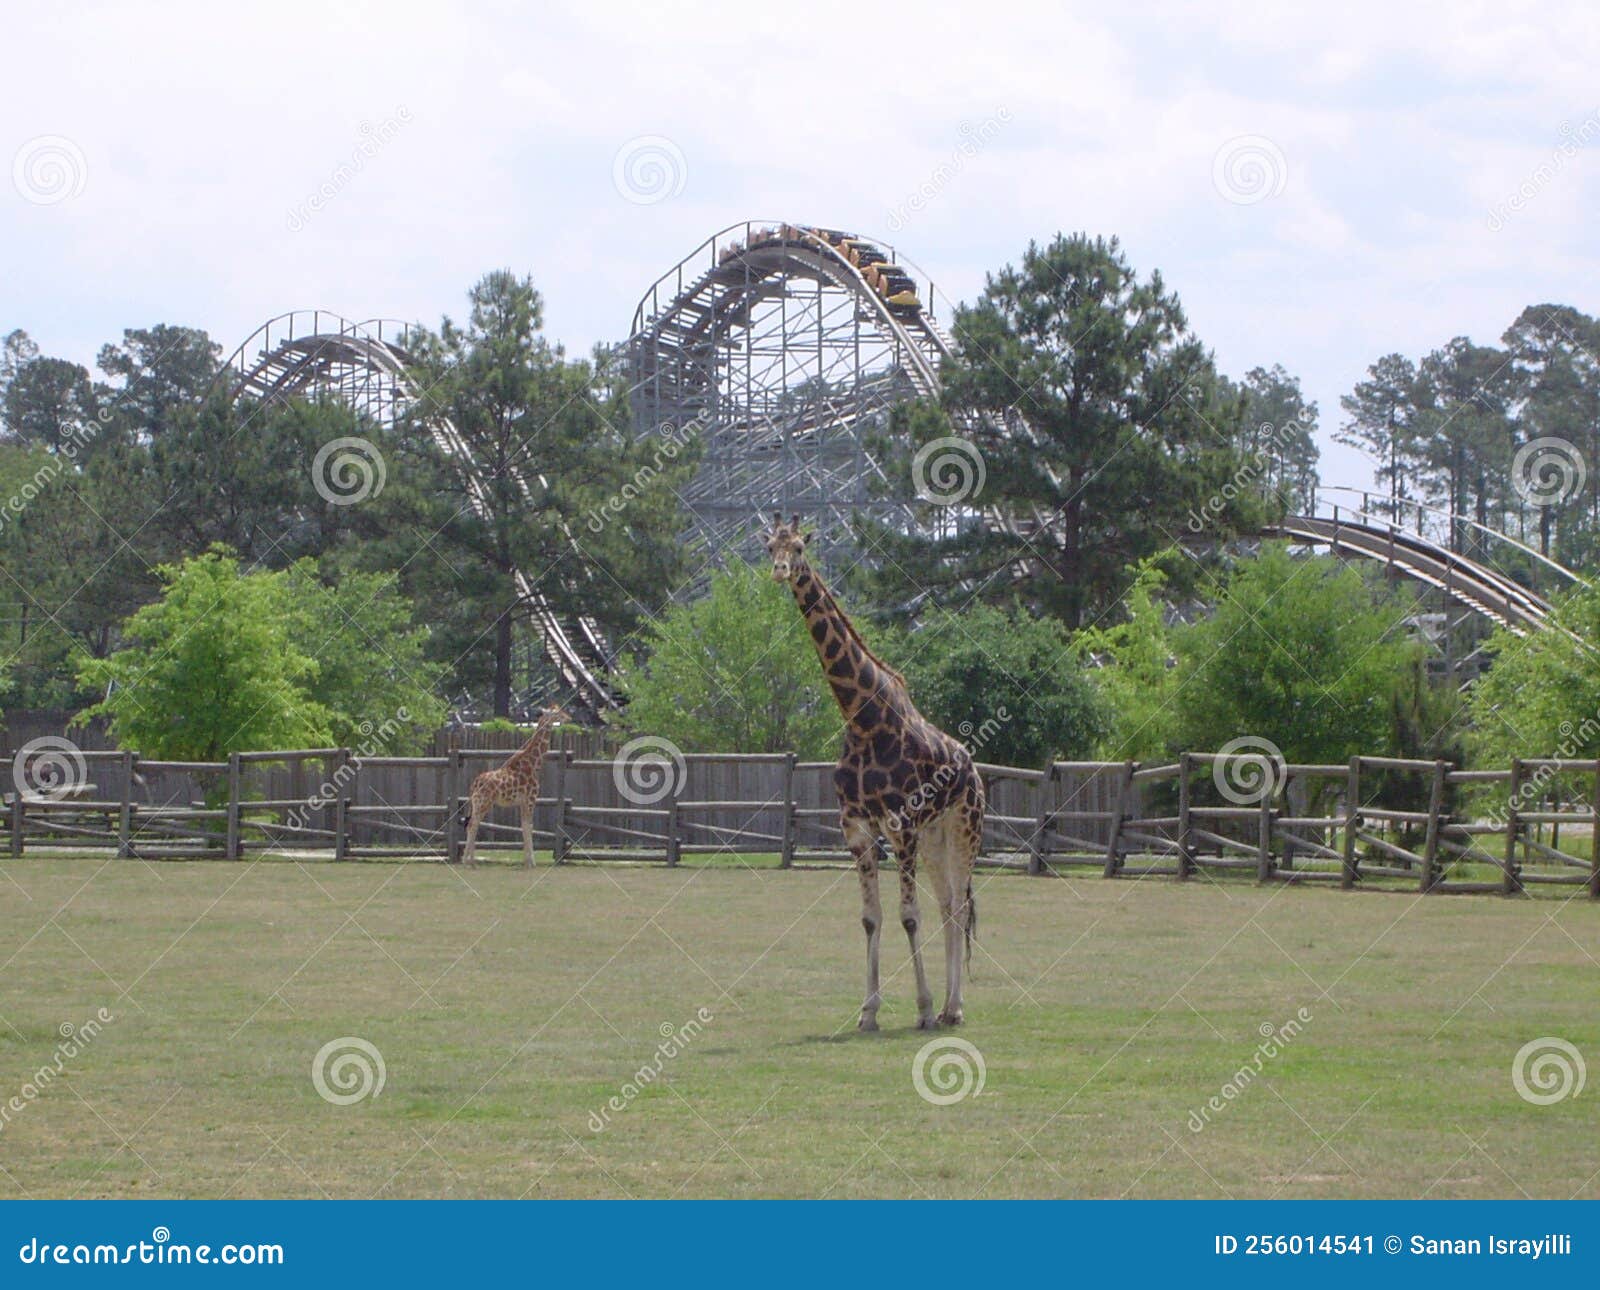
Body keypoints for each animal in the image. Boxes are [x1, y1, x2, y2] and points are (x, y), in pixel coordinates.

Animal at [461, 705, 570, 867]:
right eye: (557, 713)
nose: (568, 717)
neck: (534, 764)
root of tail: (474, 784)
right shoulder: (531, 799)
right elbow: (529, 826)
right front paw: (531, 862)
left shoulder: (522, 802)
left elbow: (524, 826)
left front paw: (527, 861)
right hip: (484, 802)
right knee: (472, 825)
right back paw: (468, 862)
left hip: (477, 803)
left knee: (472, 824)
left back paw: (469, 861)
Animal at [765, 514, 985, 1030]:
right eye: (768, 547)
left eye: (799, 547)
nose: (781, 571)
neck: (862, 718)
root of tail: (975, 773)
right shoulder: (857, 828)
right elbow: (871, 917)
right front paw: (868, 1011)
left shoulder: (901, 826)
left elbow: (908, 915)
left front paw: (921, 1008)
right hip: (935, 835)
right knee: (948, 904)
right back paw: (949, 1007)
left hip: (965, 828)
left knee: (958, 908)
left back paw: (953, 1008)